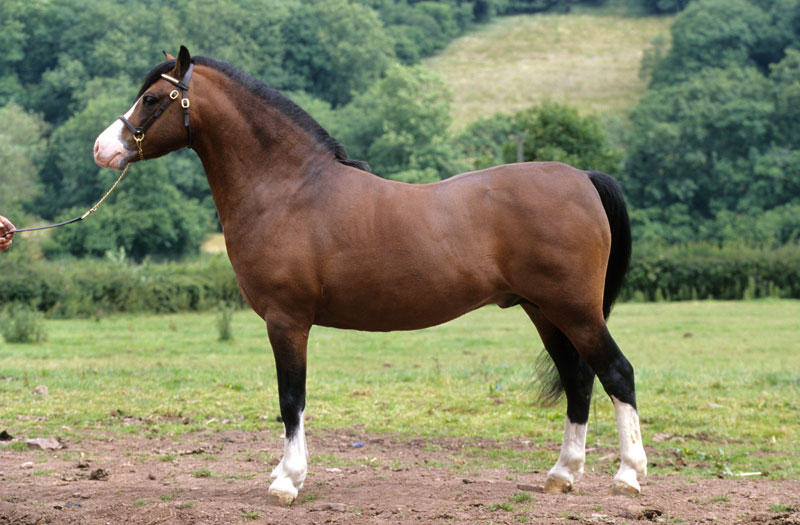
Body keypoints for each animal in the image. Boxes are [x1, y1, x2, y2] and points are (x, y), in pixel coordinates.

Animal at [94, 46, 647, 505]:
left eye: (152, 98)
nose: (103, 148)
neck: (288, 190)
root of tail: (582, 178)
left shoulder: (286, 321)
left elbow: (291, 399)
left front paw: (286, 481)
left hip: (574, 310)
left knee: (617, 373)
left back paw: (627, 476)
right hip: (544, 312)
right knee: (579, 379)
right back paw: (562, 474)